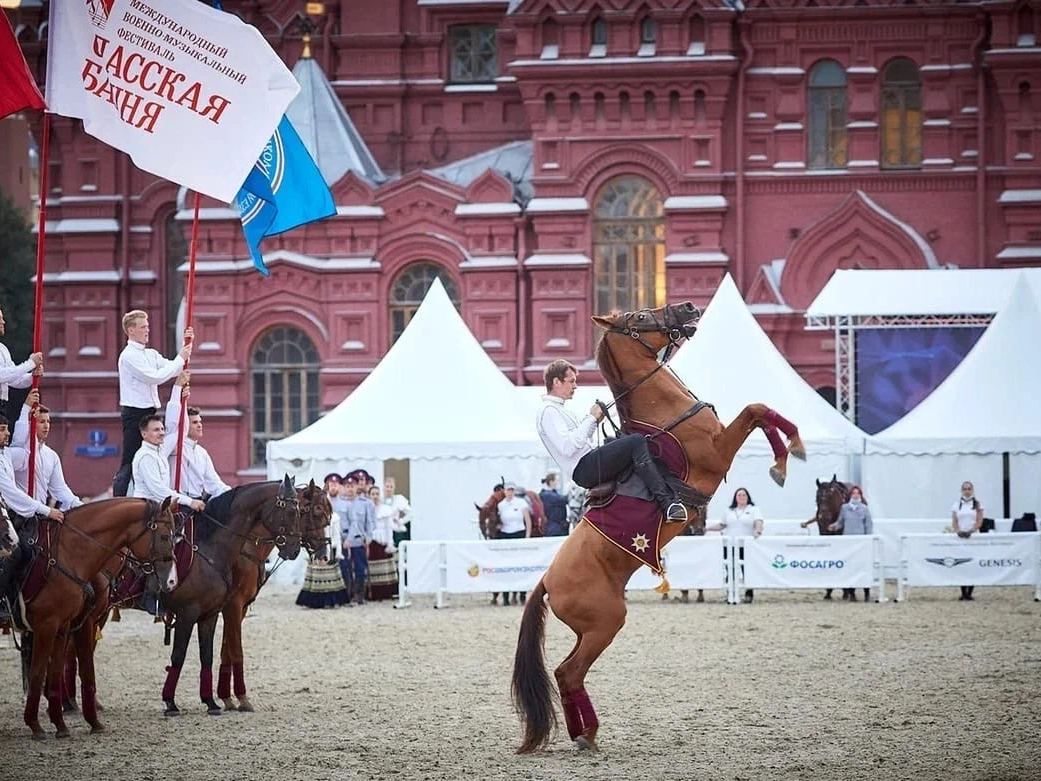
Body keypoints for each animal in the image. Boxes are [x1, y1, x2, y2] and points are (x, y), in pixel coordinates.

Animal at [16, 501, 176, 741]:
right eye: (165, 536)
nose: (172, 580)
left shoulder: (69, 623)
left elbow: (68, 667)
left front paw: (69, 719)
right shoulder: (57, 624)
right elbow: (48, 670)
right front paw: (40, 723)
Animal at [217, 481, 331, 712]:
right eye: (315, 513)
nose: (324, 555)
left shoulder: (238, 608)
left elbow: (227, 649)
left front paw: (227, 698)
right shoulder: (232, 605)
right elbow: (235, 650)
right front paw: (241, 698)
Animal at [512, 299, 803, 753]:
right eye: (639, 317)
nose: (687, 307)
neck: (665, 413)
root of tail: (546, 580)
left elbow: (759, 411)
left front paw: (786, 454)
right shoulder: (717, 452)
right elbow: (756, 410)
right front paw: (788, 455)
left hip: (588, 629)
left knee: (563, 671)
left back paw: (585, 733)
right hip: (606, 623)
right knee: (571, 672)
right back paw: (588, 734)